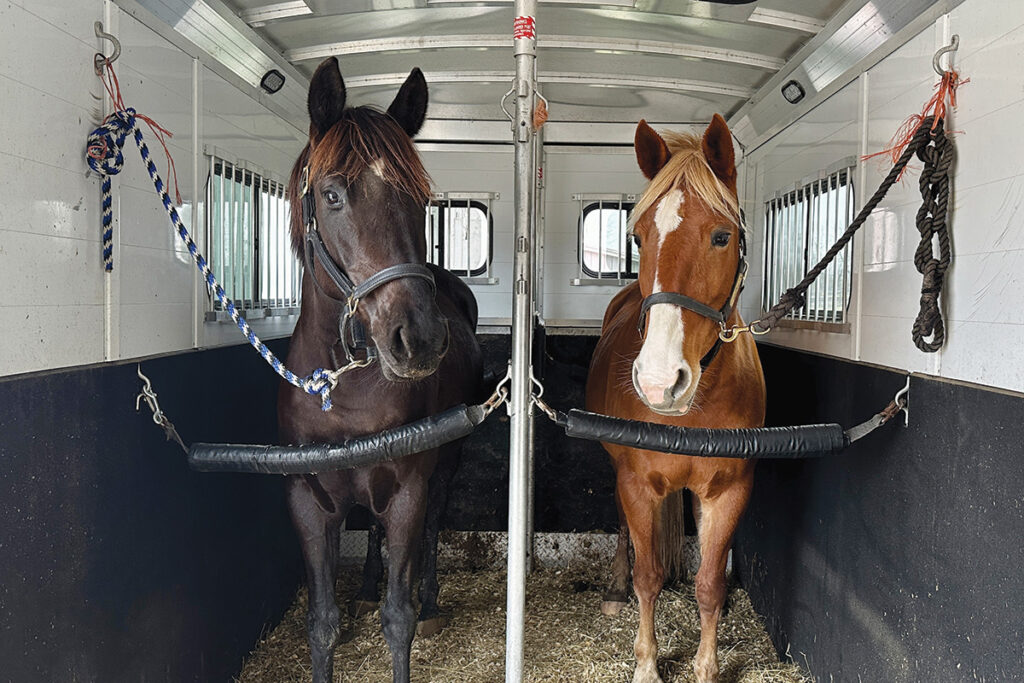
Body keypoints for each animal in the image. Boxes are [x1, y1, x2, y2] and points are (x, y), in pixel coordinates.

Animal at [278, 57, 483, 683]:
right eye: (332, 194)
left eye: (422, 198)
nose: (418, 339)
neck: (341, 390)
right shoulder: (308, 501)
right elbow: (322, 623)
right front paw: (355, 603)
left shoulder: (409, 490)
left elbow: (399, 618)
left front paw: (410, 604)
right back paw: (368, 585)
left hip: (446, 463)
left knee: (434, 528)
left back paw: (431, 597)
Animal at [585, 115, 766, 683]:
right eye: (638, 238)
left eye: (722, 236)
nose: (660, 382)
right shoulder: (638, 484)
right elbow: (648, 577)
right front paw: (646, 663)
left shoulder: (729, 490)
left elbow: (710, 583)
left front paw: (706, 667)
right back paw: (614, 588)